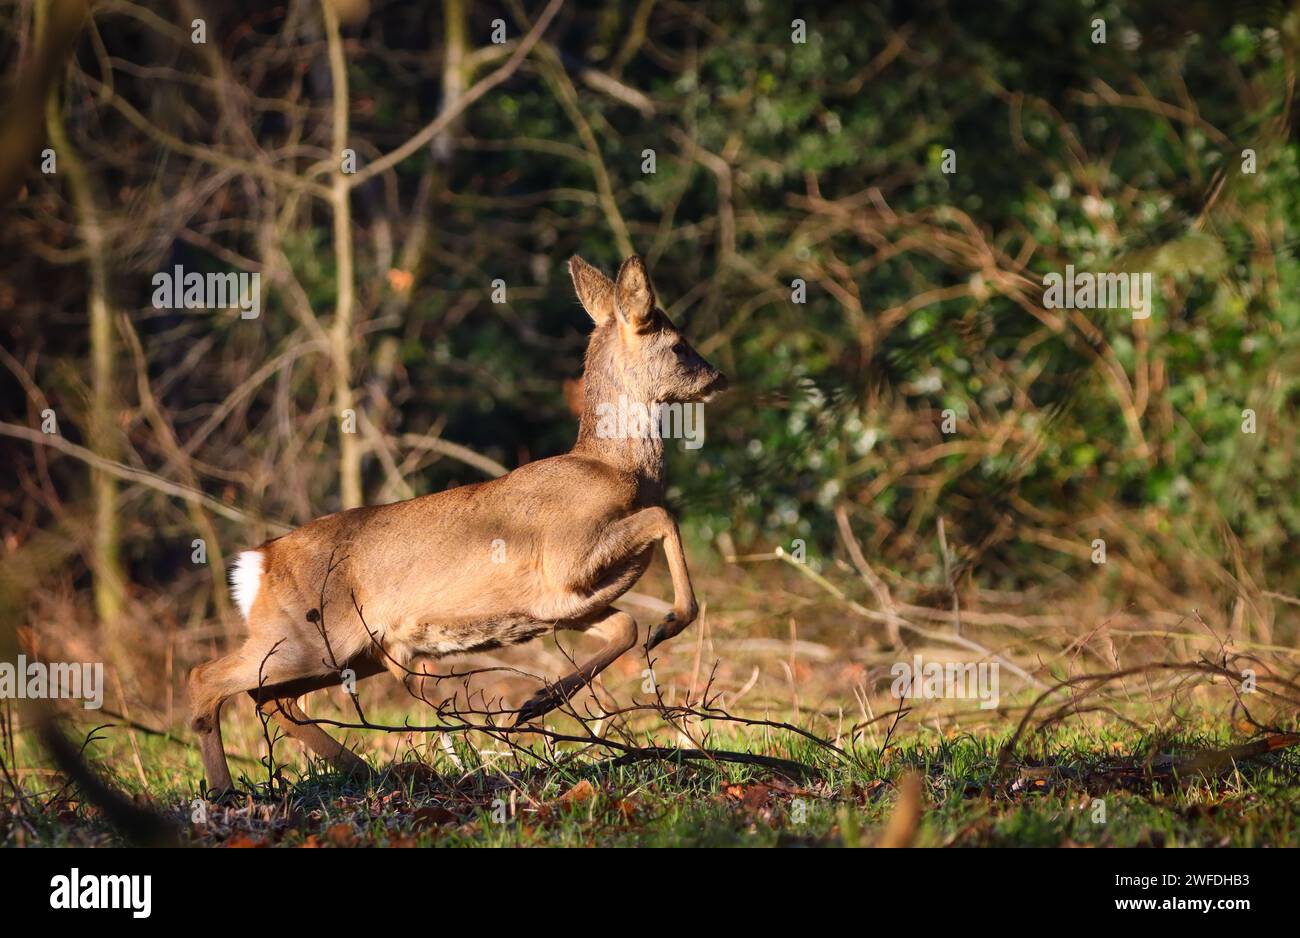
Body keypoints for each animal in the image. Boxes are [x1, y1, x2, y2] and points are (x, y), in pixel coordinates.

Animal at [189, 254, 728, 794]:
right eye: (678, 344)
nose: (718, 377)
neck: (616, 469)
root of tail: (258, 561)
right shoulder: (567, 557)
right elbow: (663, 518)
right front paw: (672, 622)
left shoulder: (566, 604)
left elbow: (626, 626)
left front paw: (537, 704)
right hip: (305, 639)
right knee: (207, 678)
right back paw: (224, 790)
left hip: (348, 652)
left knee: (273, 699)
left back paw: (376, 771)